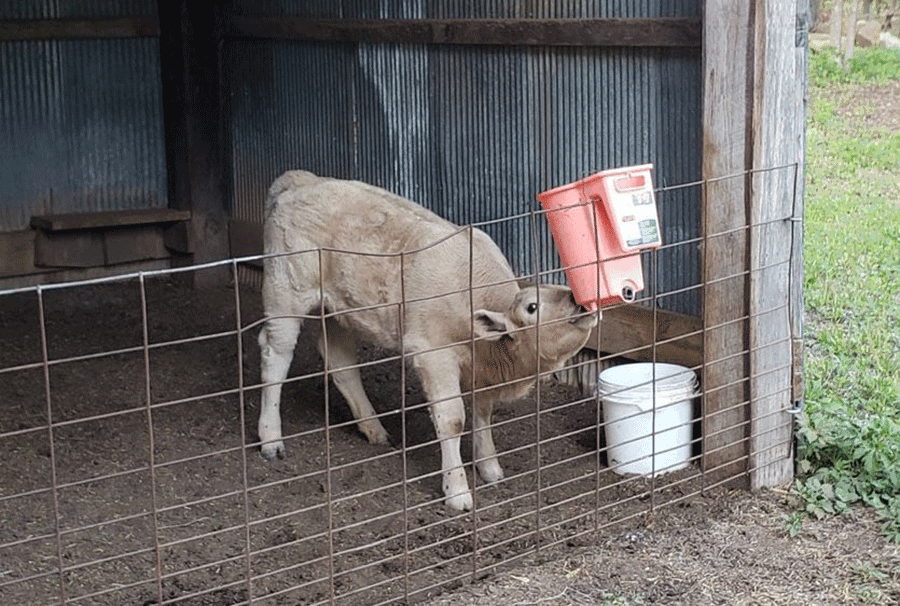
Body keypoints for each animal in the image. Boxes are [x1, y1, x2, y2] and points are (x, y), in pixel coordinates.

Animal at [257, 171, 598, 510]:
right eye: (532, 307)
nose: (579, 302)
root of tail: (302, 179)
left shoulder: (479, 368)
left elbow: (483, 413)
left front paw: (489, 467)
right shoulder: (434, 353)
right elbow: (453, 420)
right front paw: (458, 491)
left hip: (339, 308)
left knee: (339, 360)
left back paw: (374, 428)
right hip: (285, 290)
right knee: (276, 354)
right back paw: (271, 437)